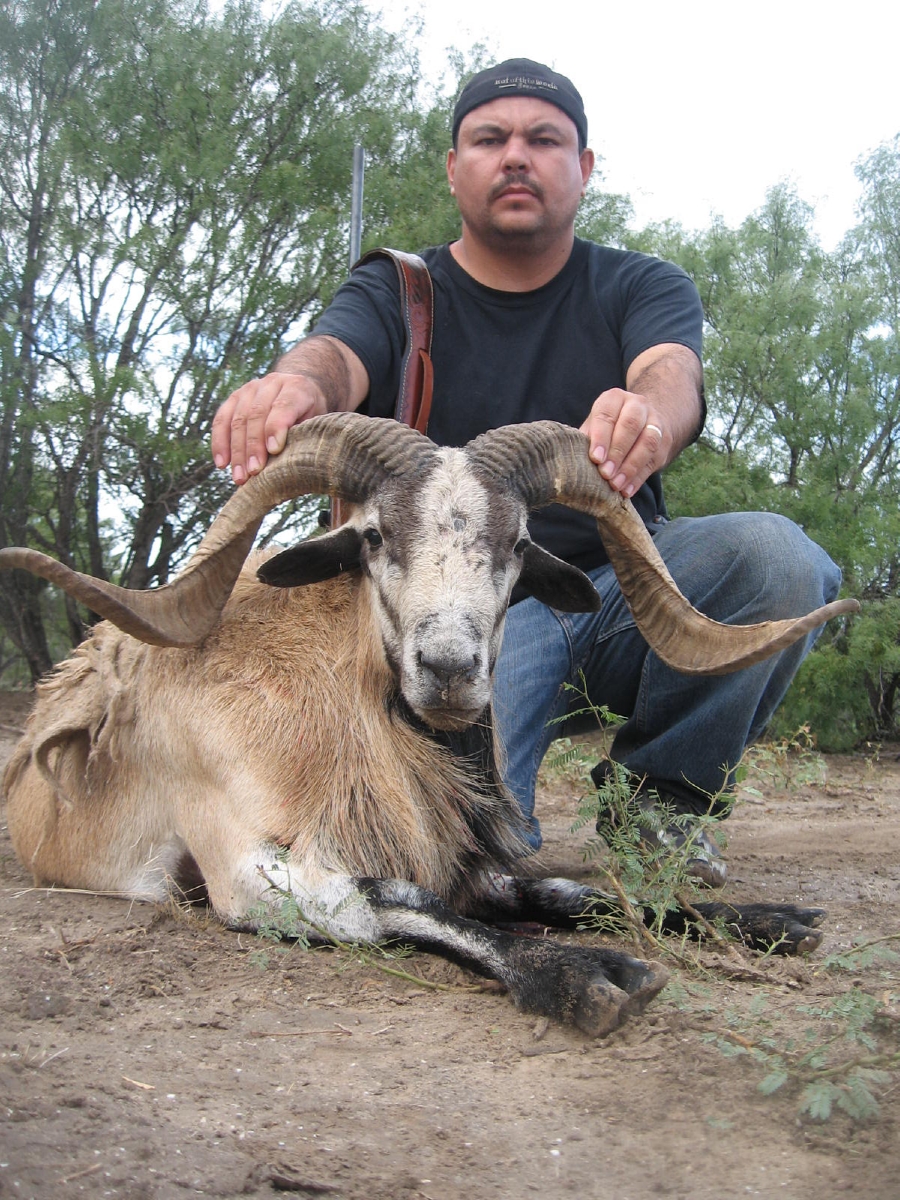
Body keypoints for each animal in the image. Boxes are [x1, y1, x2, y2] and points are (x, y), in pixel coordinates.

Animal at [0, 414, 857, 1036]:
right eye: (376, 535)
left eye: (518, 542)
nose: (448, 666)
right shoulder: (245, 870)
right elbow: (403, 901)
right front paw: (589, 976)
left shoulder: (475, 862)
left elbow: (561, 891)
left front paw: (772, 921)